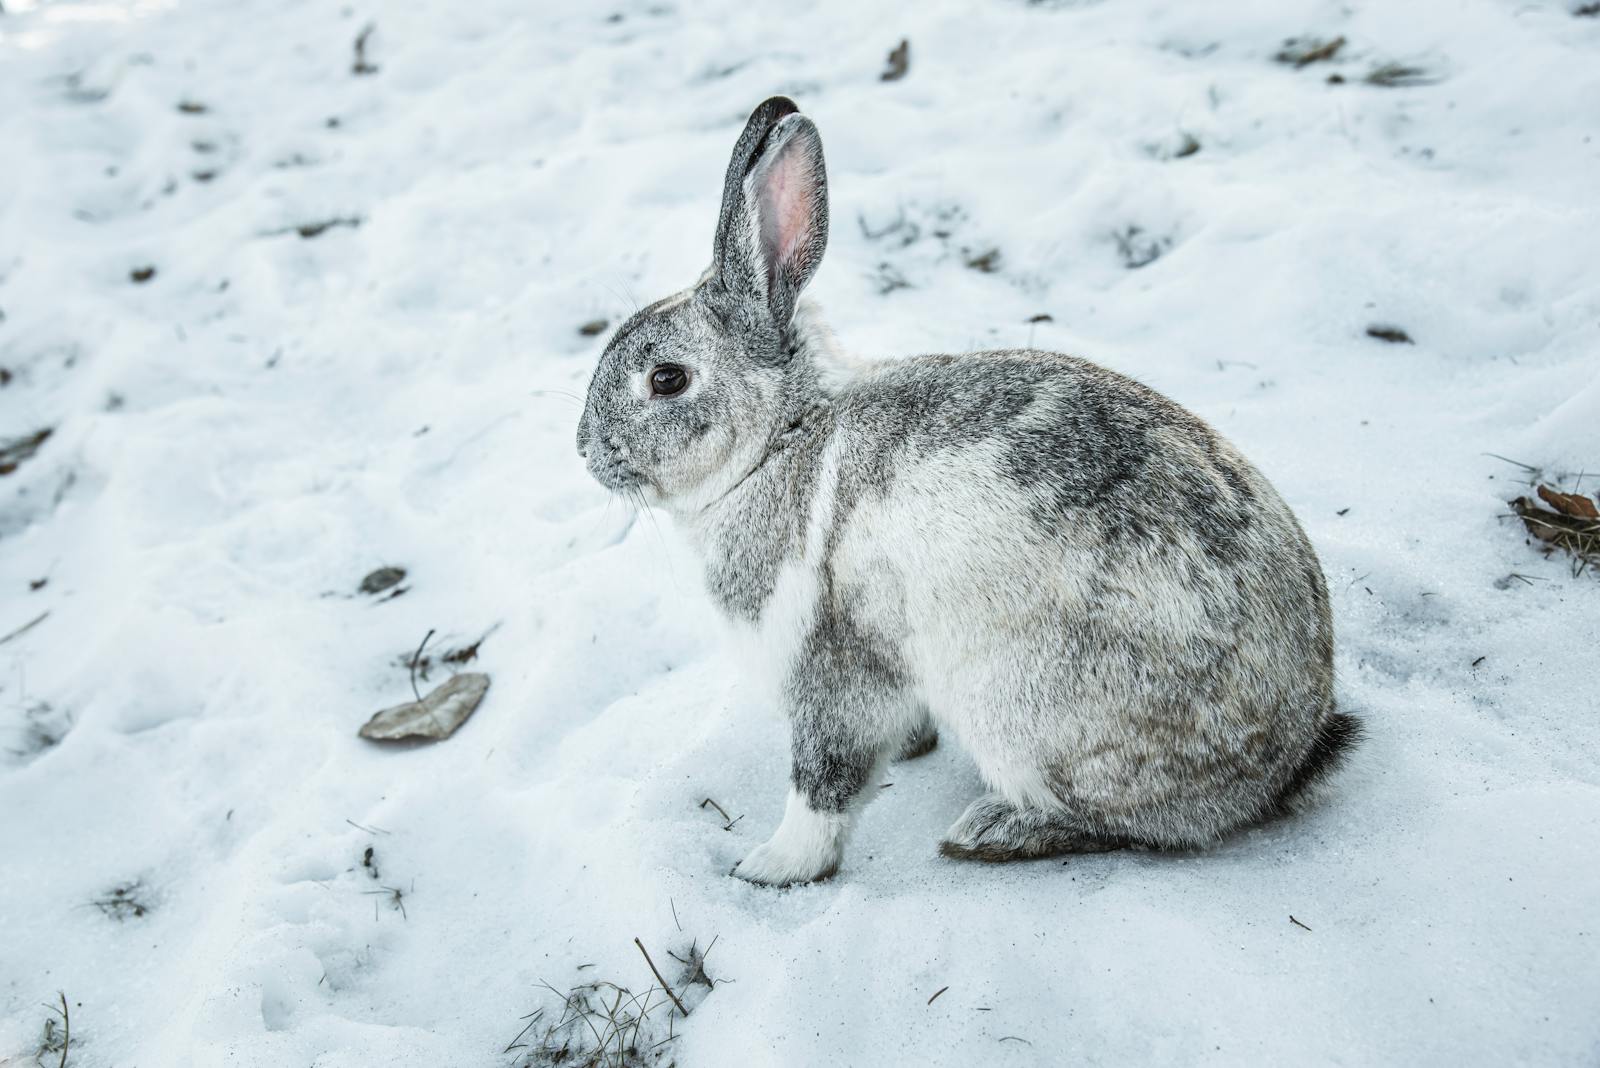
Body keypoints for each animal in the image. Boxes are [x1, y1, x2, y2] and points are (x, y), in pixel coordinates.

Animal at [576, 96, 1360, 886]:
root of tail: (1283, 761)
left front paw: (773, 865)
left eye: (667, 379)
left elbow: (823, 781)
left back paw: (992, 830)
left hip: (1028, 712)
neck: (782, 439)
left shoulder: (830, 666)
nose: (585, 450)